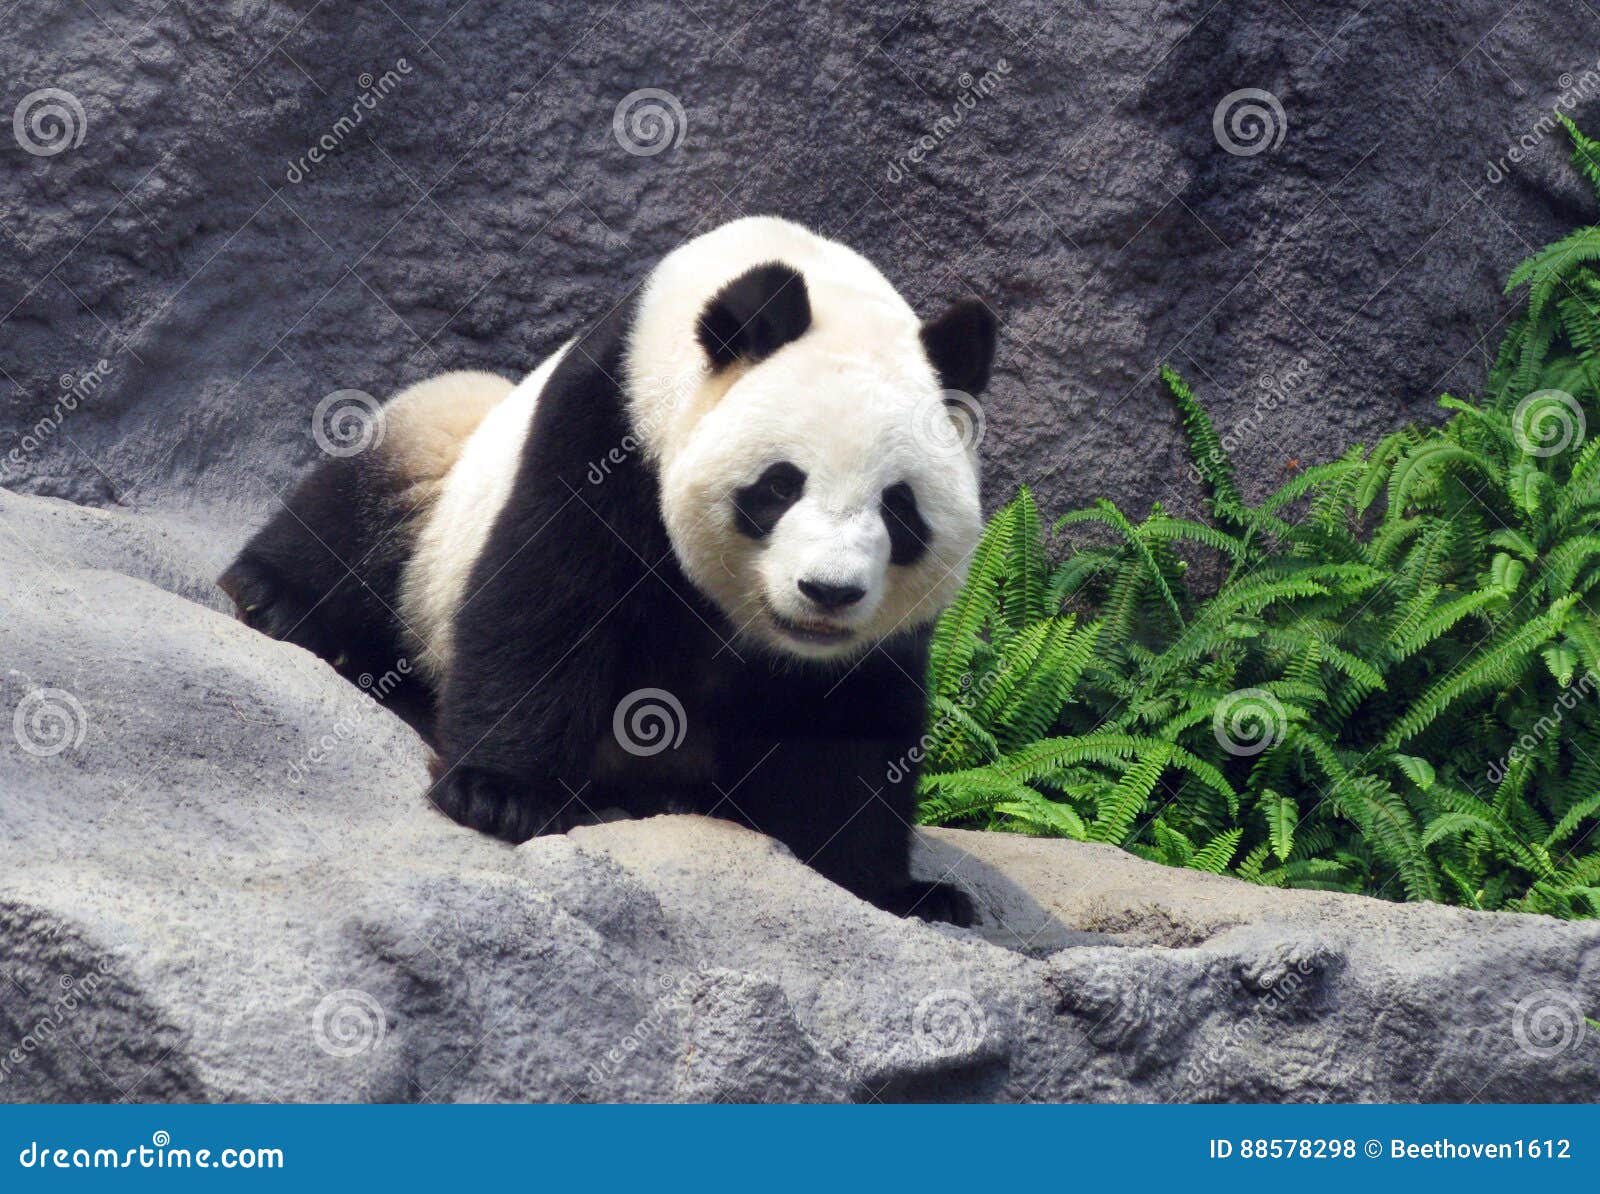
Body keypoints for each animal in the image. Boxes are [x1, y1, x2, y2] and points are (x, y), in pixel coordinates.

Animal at [221, 216, 997, 925]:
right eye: (780, 486)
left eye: (899, 508)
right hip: (442, 482)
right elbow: (547, 600)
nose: (828, 593)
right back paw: (273, 599)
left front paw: (898, 892)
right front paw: (499, 795)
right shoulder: (604, 424)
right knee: (381, 484)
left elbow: (852, 720)